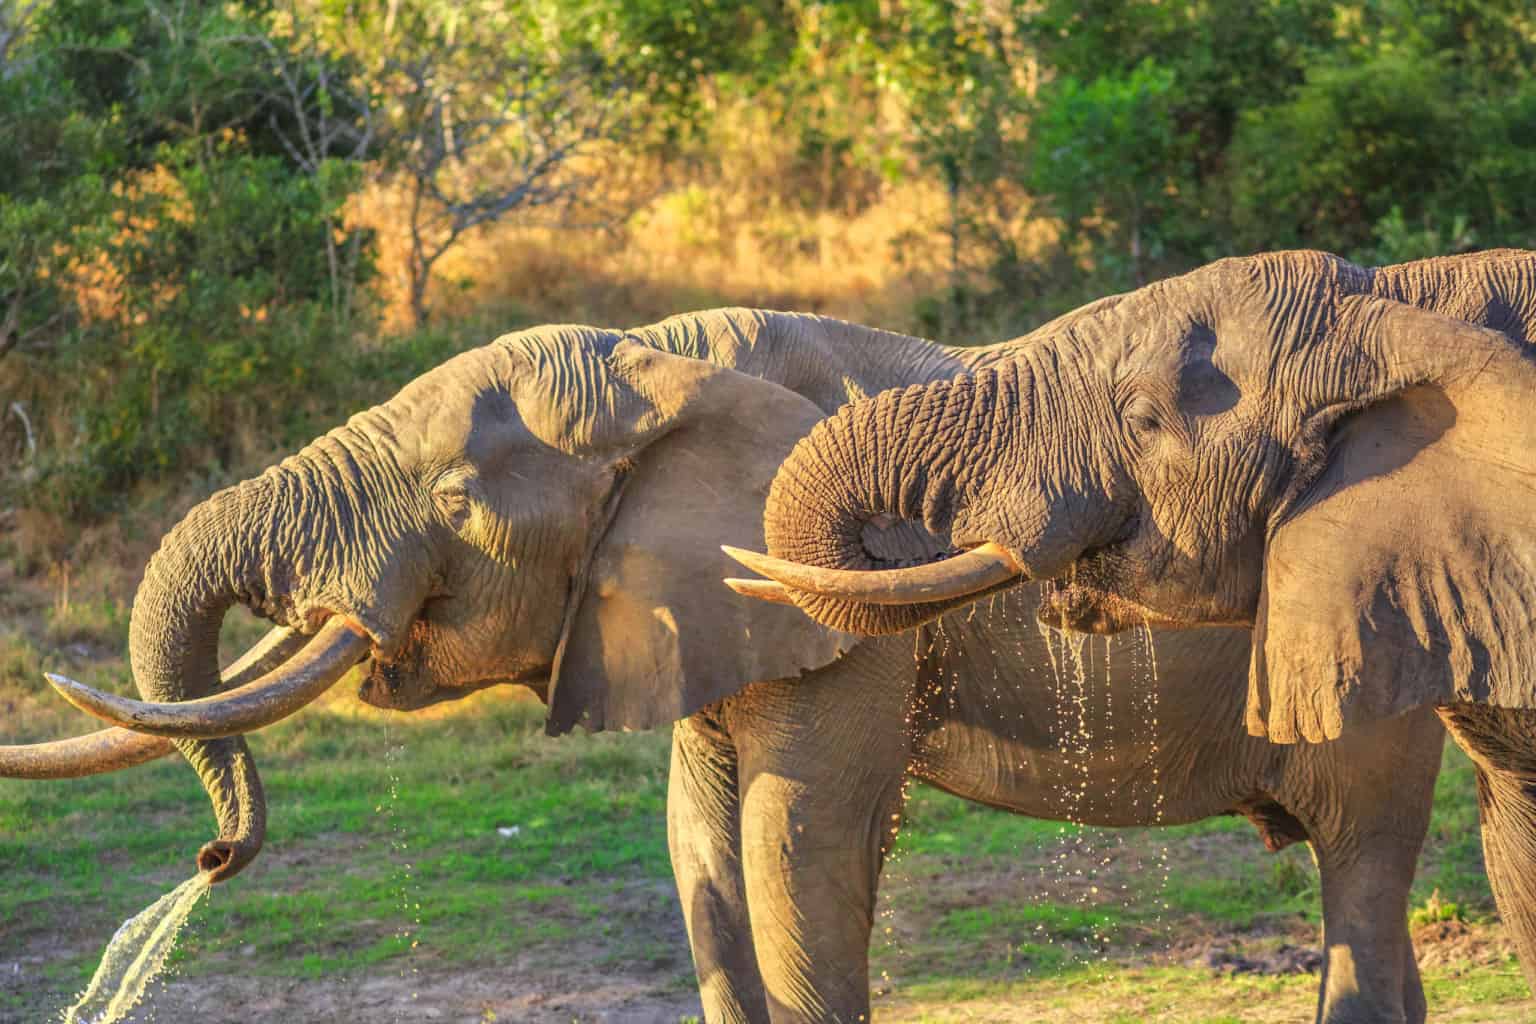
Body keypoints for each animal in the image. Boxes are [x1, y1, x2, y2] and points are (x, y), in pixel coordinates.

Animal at [3, 307, 1446, 1024]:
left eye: (458, 502)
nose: (212, 856)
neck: (662, 360)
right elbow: (699, 834)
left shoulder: (838, 590)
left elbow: (792, 838)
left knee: (1365, 864)